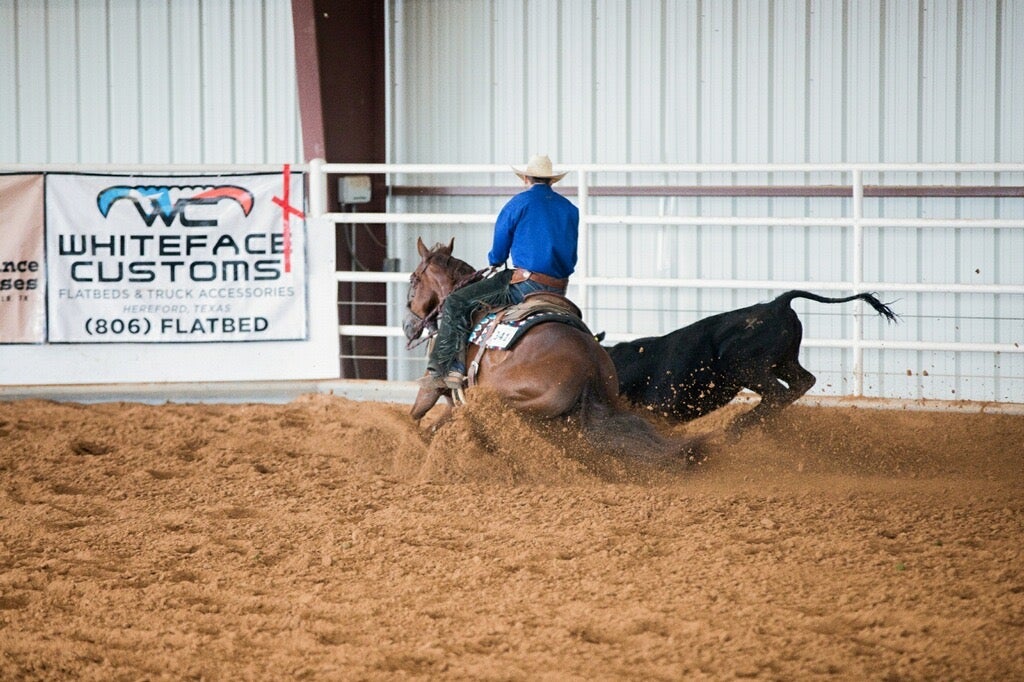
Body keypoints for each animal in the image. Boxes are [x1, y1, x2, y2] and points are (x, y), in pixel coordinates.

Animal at [403, 238, 704, 467]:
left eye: (414, 280)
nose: (408, 325)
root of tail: (588, 365)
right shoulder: (454, 401)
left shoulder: (433, 388)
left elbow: (417, 417)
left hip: (505, 401)